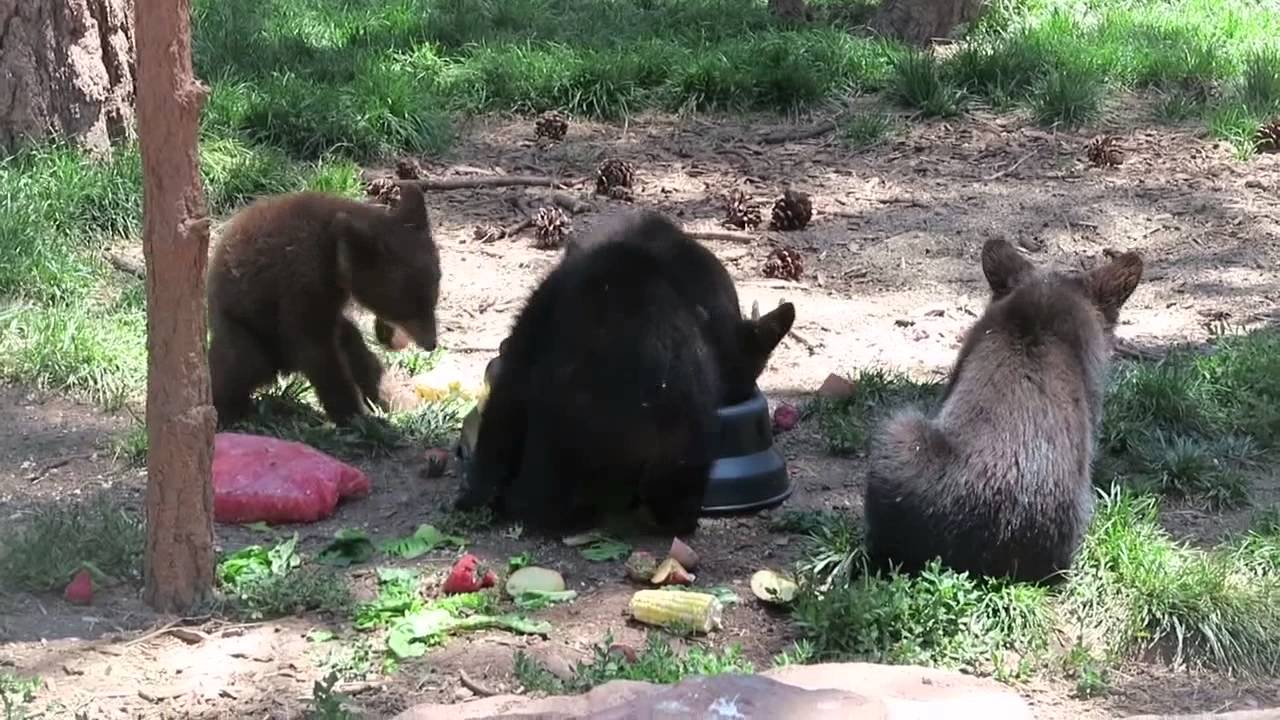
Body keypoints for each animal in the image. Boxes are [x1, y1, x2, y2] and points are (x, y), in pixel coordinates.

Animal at [207, 183, 441, 428]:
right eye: (407, 307)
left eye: (432, 298)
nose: (430, 343)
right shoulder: (302, 282)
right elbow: (316, 350)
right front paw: (354, 416)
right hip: (245, 327)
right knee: (241, 360)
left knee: (353, 344)